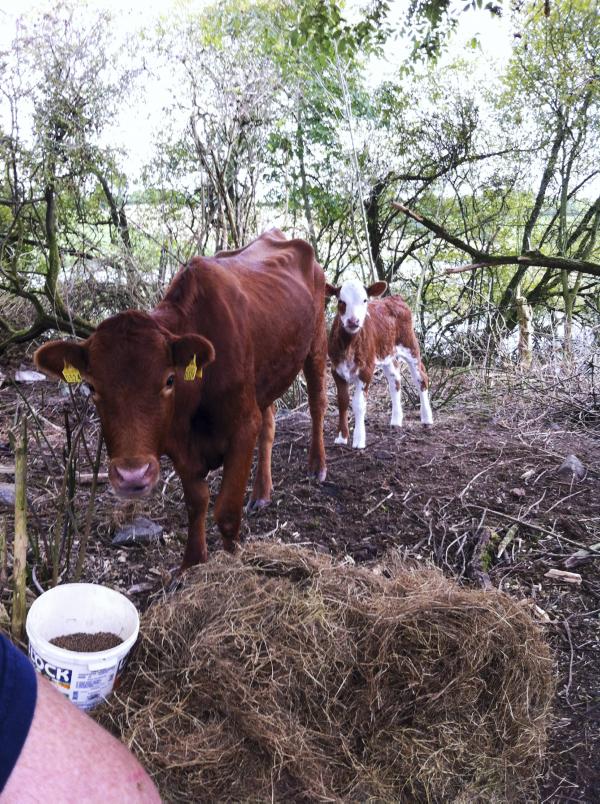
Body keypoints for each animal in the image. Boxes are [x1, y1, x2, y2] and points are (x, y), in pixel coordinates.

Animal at [35, 229, 328, 568]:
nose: (132, 475)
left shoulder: (243, 425)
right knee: (269, 421)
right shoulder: (176, 440)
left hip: (316, 341)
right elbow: (196, 501)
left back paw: (317, 465)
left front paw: (231, 563)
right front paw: (192, 563)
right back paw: (261, 493)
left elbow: (227, 512)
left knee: (317, 402)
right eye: (91, 387)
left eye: (169, 380)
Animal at [326, 278, 433, 449]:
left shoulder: (366, 370)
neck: (349, 344)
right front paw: (341, 437)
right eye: (341, 301)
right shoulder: (336, 370)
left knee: (421, 378)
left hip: (410, 345)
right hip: (387, 353)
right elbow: (342, 401)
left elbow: (359, 404)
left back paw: (427, 419)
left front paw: (358, 440)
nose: (353, 321)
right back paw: (396, 421)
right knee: (395, 381)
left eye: (364, 300)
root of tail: (395, 298)